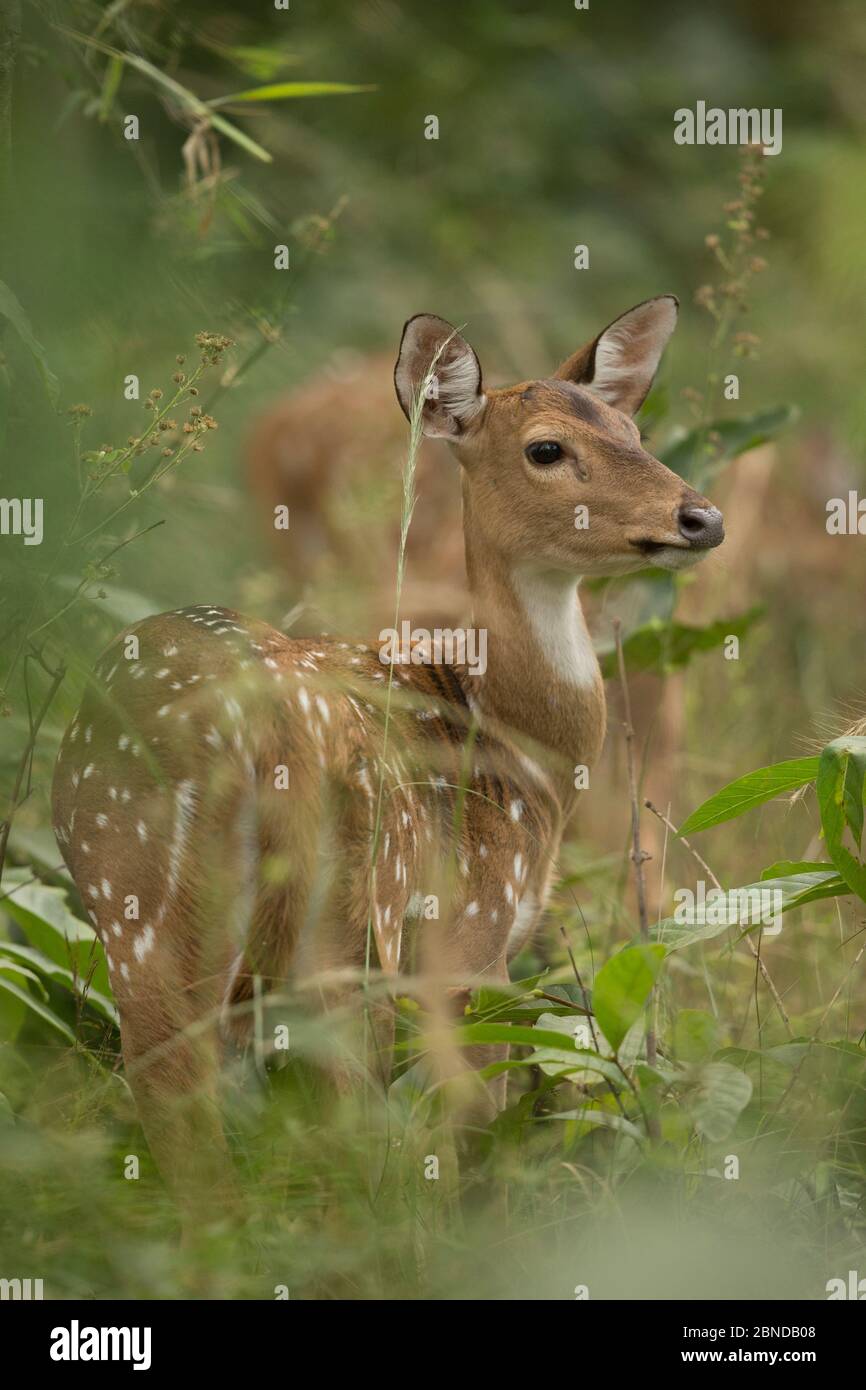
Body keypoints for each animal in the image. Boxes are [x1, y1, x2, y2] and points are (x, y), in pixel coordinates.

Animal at [51, 296, 724, 1208]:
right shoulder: (471, 936)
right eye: (546, 448)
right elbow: (473, 1117)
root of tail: (257, 725)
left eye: (634, 431)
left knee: (175, 1097)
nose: (701, 518)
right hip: (352, 917)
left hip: (130, 893)